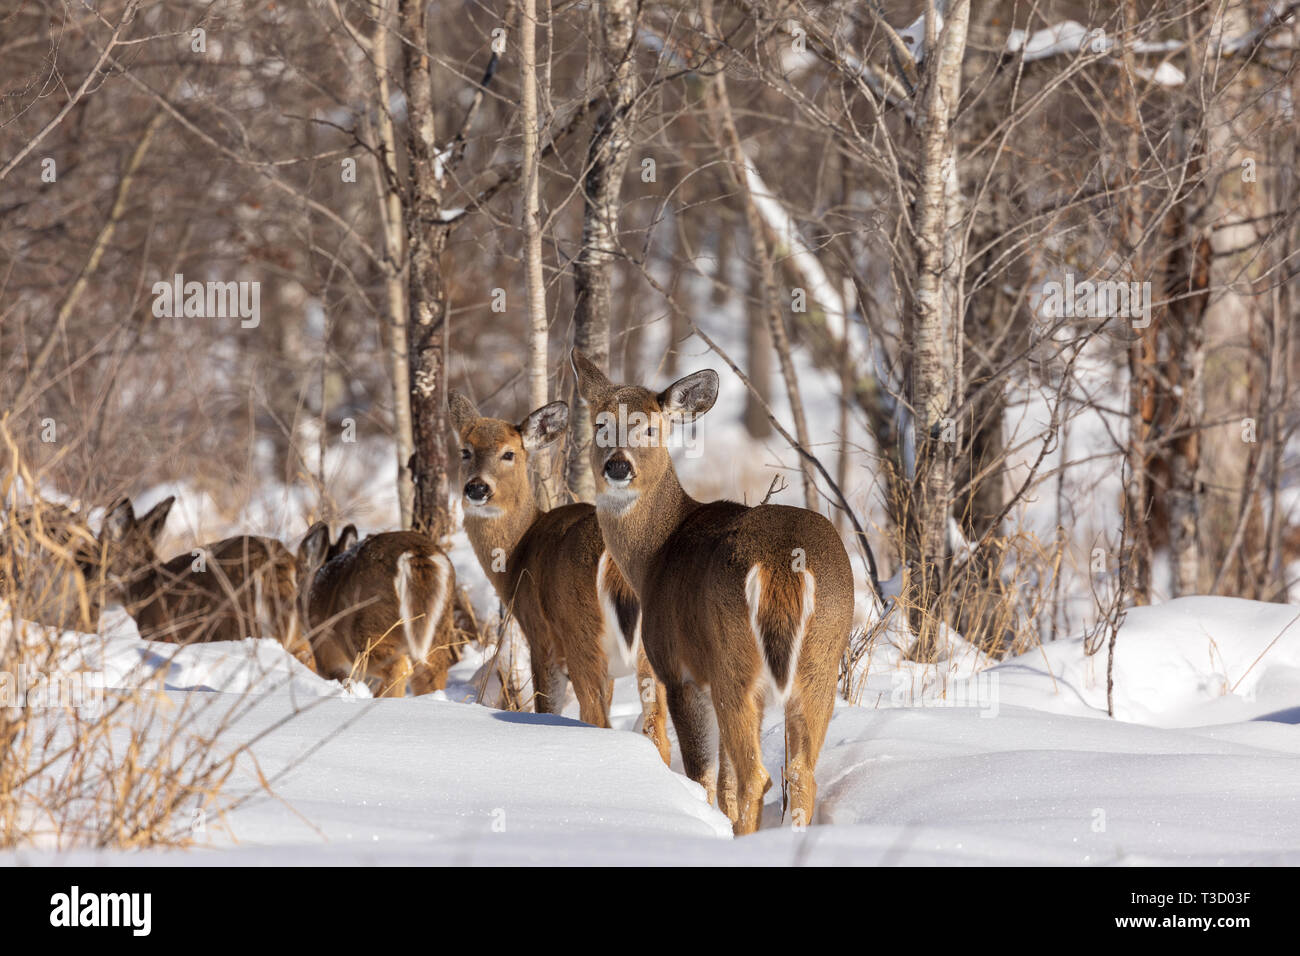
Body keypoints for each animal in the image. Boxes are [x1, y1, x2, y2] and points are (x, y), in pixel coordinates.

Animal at [305, 529, 458, 697]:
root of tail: (416, 552)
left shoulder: (326, 654)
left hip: (367, 629)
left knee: (400, 667)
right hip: (438, 629)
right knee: (431, 675)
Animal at [449, 391, 671, 764]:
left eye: (509, 453)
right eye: (465, 450)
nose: (477, 488)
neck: (519, 552)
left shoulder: (540, 637)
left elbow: (547, 707)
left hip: (581, 632)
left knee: (599, 721)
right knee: (658, 733)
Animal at [572, 351, 855, 834]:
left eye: (651, 428)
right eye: (600, 424)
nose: (618, 466)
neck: (655, 554)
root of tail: (784, 564)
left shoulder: (678, 669)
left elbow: (703, 775)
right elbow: (723, 783)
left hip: (732, 661)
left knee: (757, 775)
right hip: (823, 659)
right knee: (800, 773)